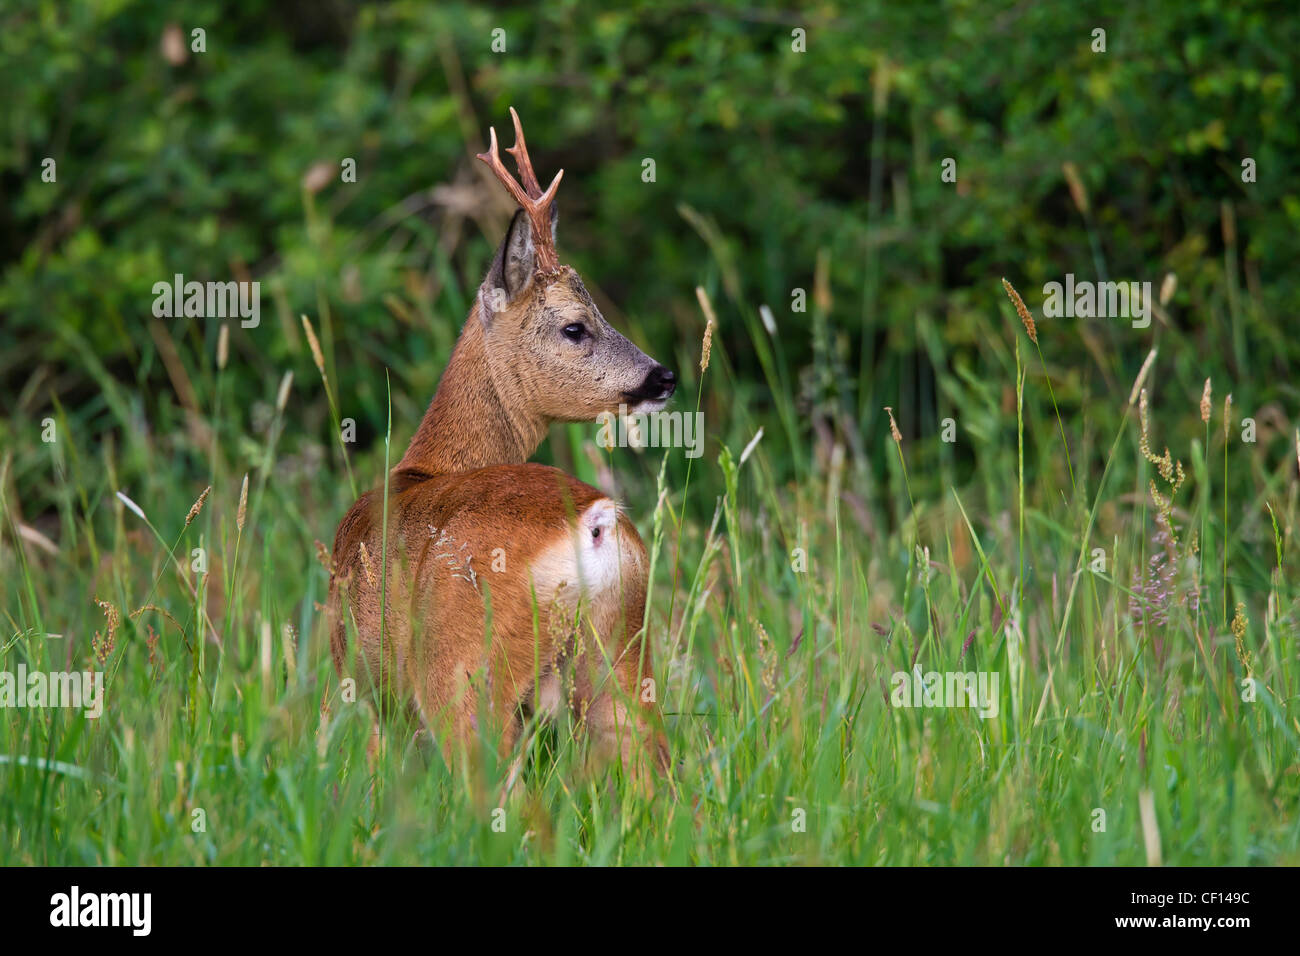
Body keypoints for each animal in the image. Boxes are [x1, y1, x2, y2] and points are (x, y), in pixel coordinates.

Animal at [327, 109, 676, 789]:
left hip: (464, 677)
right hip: (621, 656)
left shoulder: (361, 682)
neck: (424, 464)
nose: (664, 377)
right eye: (576, 325)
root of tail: (597, 523)